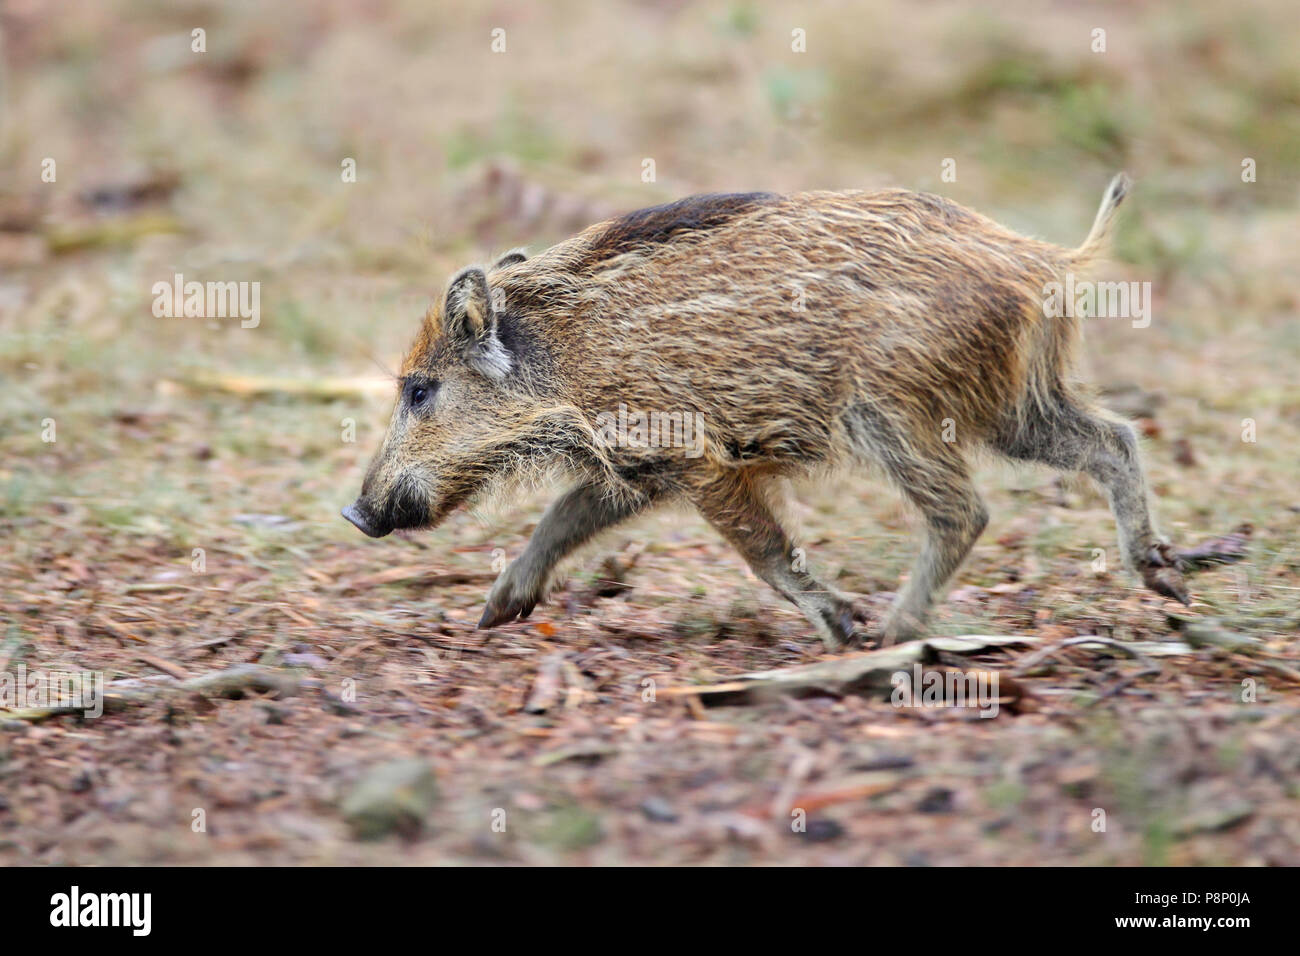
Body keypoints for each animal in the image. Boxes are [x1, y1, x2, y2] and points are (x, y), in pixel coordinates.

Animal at [342, 175, 1188, 648]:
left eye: (419, 389)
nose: (355, 512)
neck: (563, 359)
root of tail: (1046, 259)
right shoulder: (640, 466)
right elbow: (564, 516)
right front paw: (495, 613)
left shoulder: (698, 457)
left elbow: (764, 551)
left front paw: (842, 625)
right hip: (1012, 405)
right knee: (1113, 439)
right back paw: (1165, 578)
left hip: (893, 412)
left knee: (965, 512)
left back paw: (891, 635)